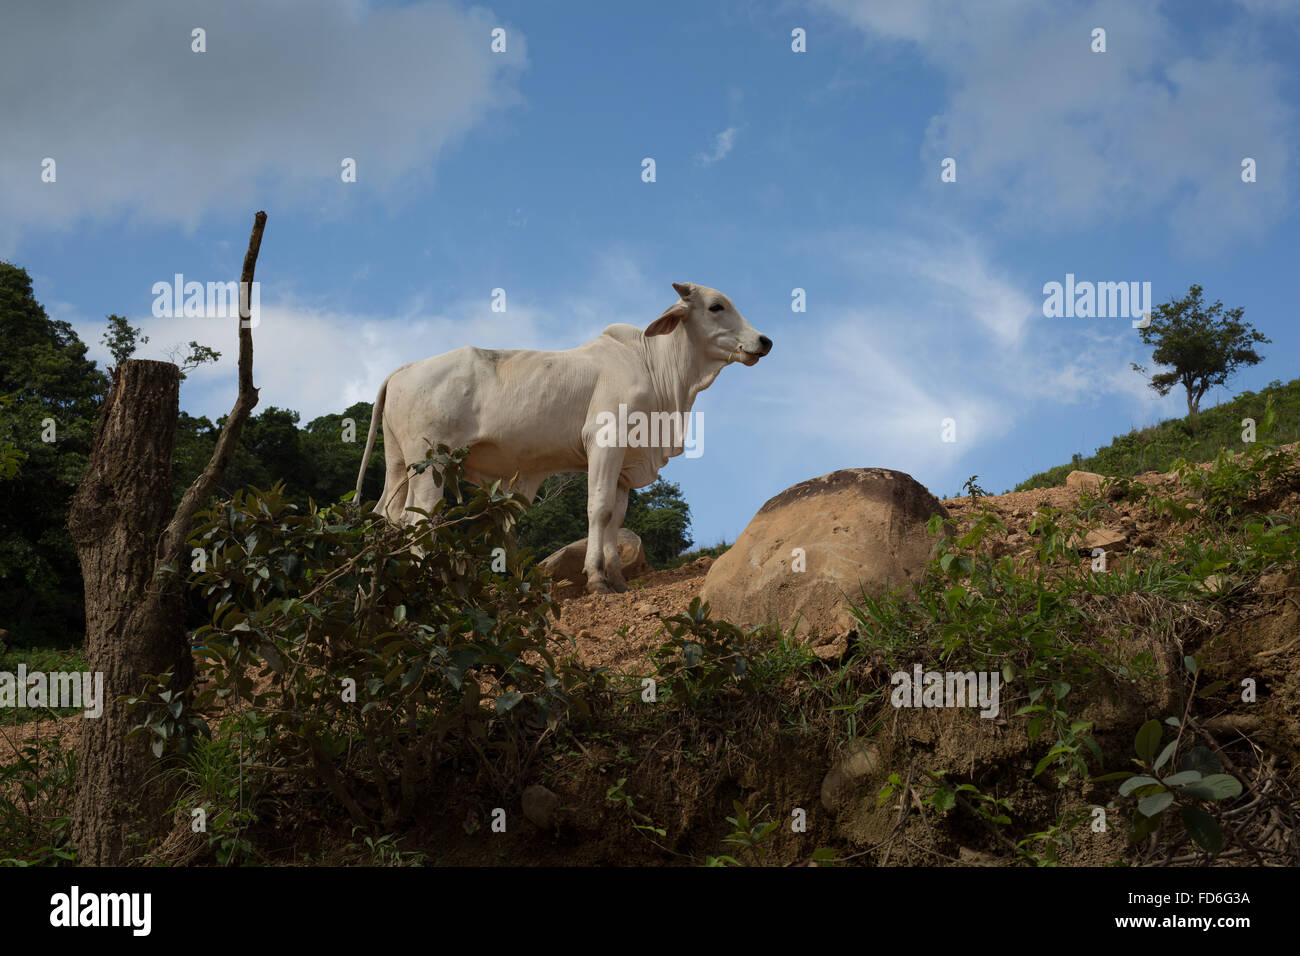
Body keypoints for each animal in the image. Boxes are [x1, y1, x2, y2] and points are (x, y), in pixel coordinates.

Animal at [354, 282, 771, 593]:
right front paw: (596, 579)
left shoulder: (627, 463)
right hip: (432, 465)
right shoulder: (605, 442)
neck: (659, 372)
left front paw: (617, 578)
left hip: (400, 464)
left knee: (386, 517)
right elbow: (598, 509)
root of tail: (405, 368)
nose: (764, 341)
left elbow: (616, 517)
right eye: (716, 306)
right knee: (417, 520)